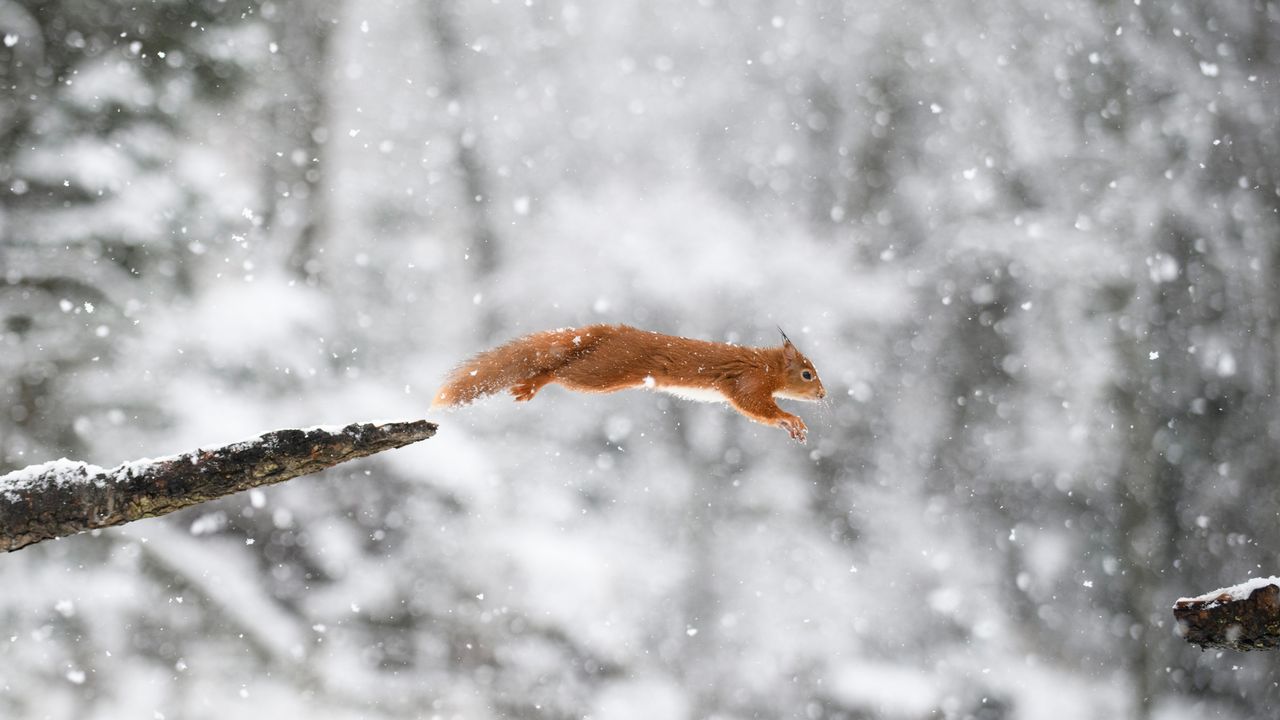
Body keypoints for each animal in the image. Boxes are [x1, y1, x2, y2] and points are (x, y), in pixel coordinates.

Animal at [432, 324, 826, 442]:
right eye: (807, 374)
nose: (824, 394)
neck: (768, 366)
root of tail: (607, 332)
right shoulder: (748, 382)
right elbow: (755, 406)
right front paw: (792, 420)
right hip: (602, 372)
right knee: (558, 371)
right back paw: (534, 384)